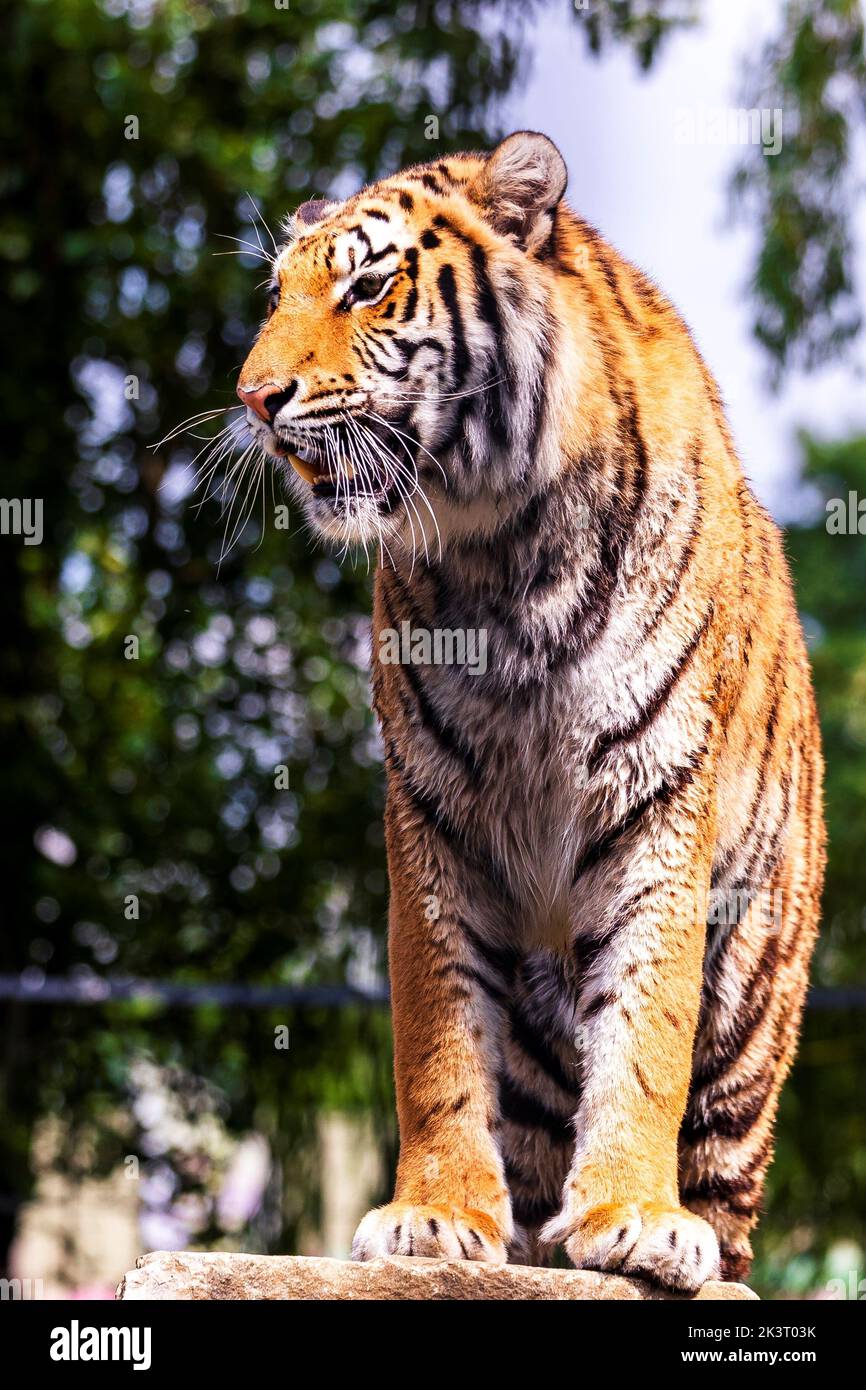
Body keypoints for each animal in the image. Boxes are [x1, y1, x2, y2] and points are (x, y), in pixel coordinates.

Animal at [235, 131, 825, 1292]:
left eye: (366, 287)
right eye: (278, 295)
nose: (255, 399)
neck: (500, 549)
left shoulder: (658, 798)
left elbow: (646, 1025)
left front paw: (635, 1215)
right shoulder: (431, 807)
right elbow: (437, 1034)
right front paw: (434, 1213)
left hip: (751, 1012)